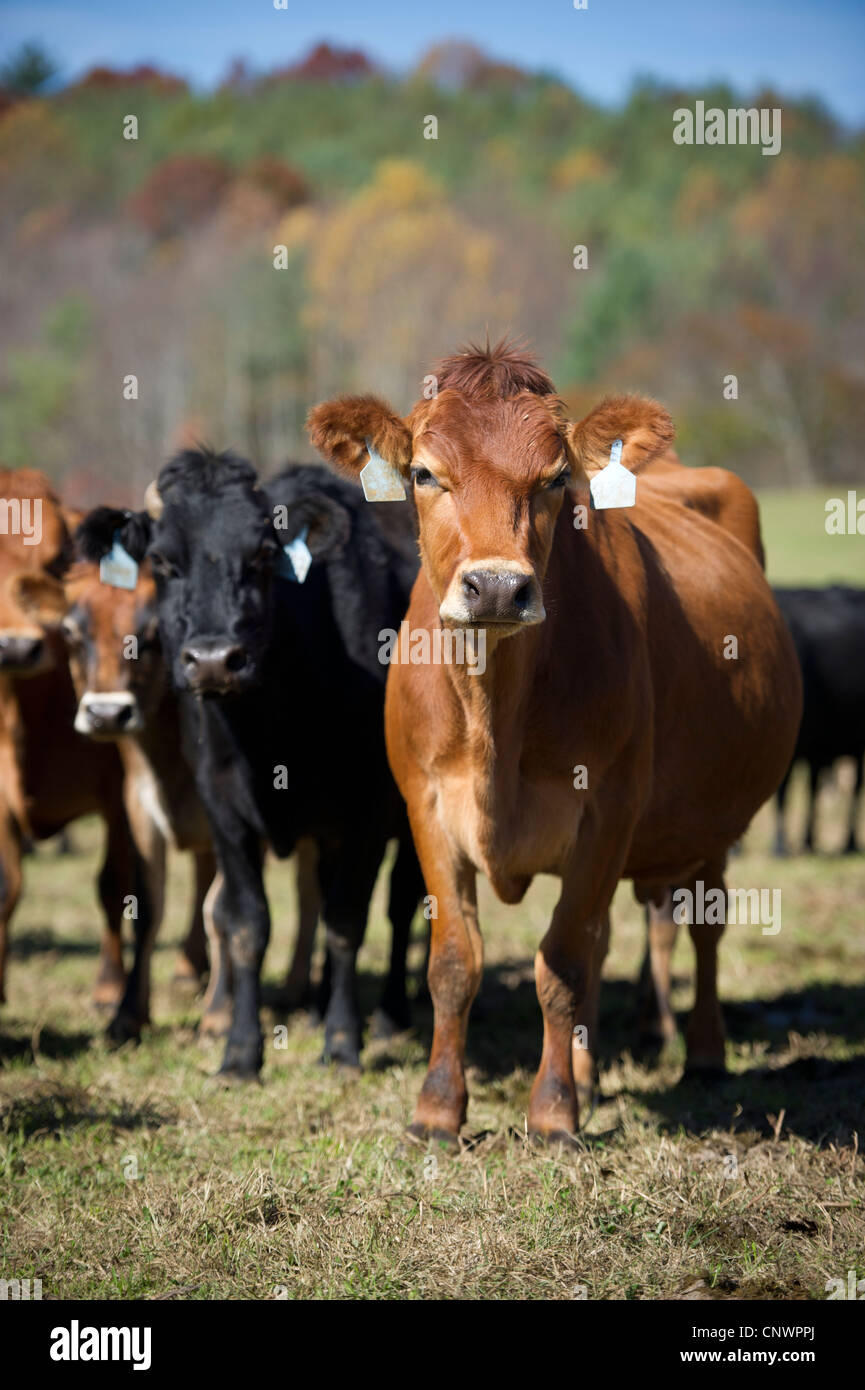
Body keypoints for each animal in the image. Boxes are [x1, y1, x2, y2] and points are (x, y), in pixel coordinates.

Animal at [111, 453, 424, 1076]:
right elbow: (245, 926)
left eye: (260, 556)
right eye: (162, 561)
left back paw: (389, 1015)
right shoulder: (225, 811)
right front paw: (240, 1053)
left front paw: (342, 1043)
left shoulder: (370, 812)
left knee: (402, 903)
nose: (213, 660)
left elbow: (347, 921)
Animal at [307, 338, 802, 1144]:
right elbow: (455, 962)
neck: (496, 716)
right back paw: (593, 1073)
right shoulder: (426, 808)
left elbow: (562, 962)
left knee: (702, 927)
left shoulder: (607, 809)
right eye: (423, 473)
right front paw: (438, 1110)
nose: (496, 588)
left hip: (712, 826)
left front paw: (552, 1113)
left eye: (554, 479)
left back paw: (700, 1055)